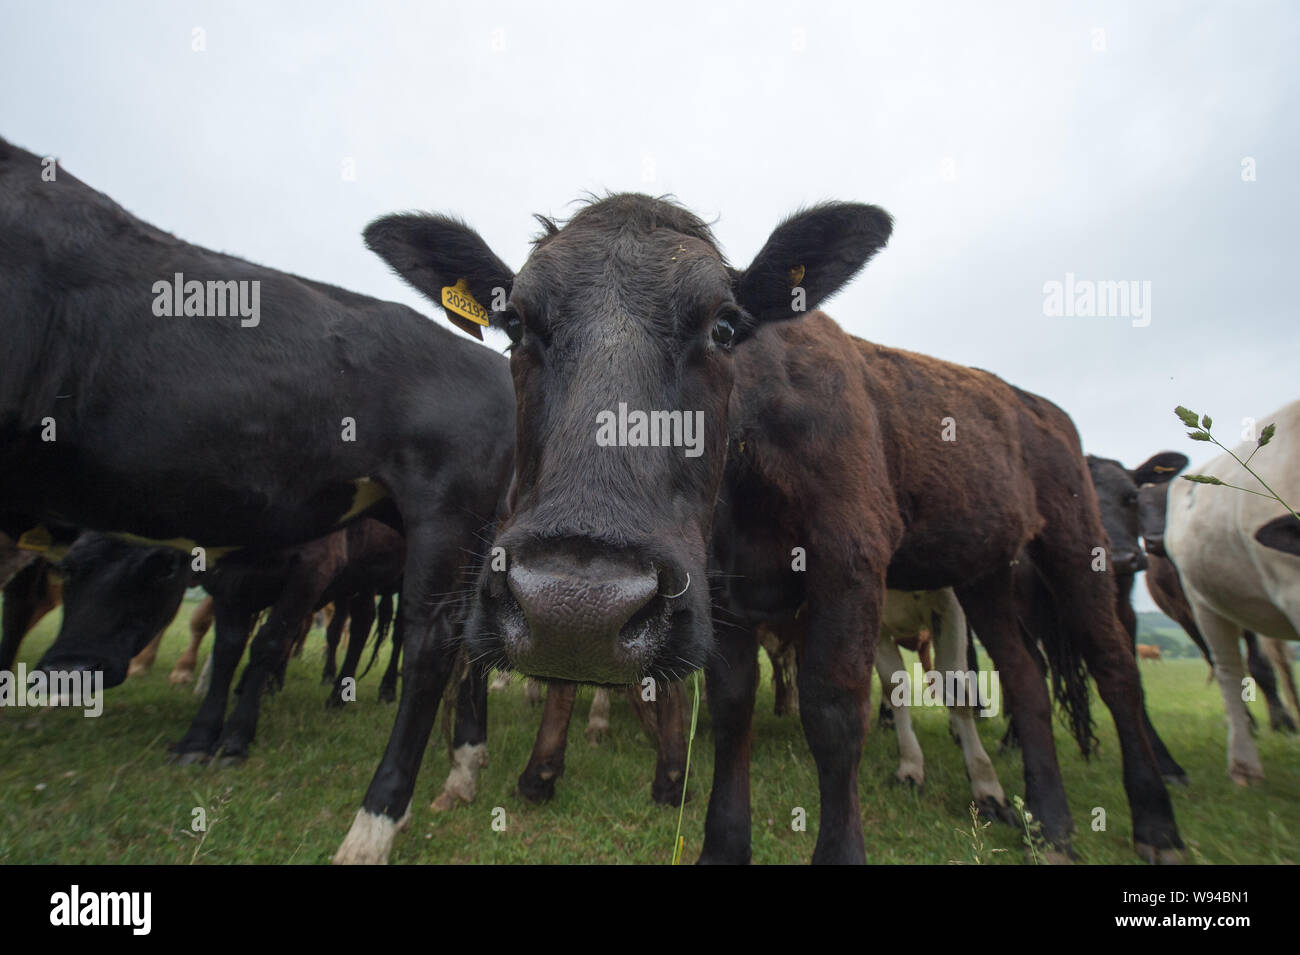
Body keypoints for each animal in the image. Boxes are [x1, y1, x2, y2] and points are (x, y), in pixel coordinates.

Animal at [0, 139, 515, 844]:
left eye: (157, 571)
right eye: (69, 569)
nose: (65, 677)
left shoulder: (312, 566)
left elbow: (268, 642)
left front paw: (234, 739)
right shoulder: (233, 568)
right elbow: (230, 641)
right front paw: (200, 739)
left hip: (448, 509)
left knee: (431, 640)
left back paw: (374, 822)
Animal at [359, 193, 1183, 864]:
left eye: (725, 326)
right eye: (515, 324)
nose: (576, 609)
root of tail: (1030, 400)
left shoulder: (852, 559)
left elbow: (835, 711)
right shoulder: (719, 593)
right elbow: (730, 707)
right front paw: (723, 846)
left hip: (1078, 542)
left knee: (1114, 668)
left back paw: (1156, 825)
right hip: (983, 568)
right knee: (1027, 678)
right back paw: (1054, 825)